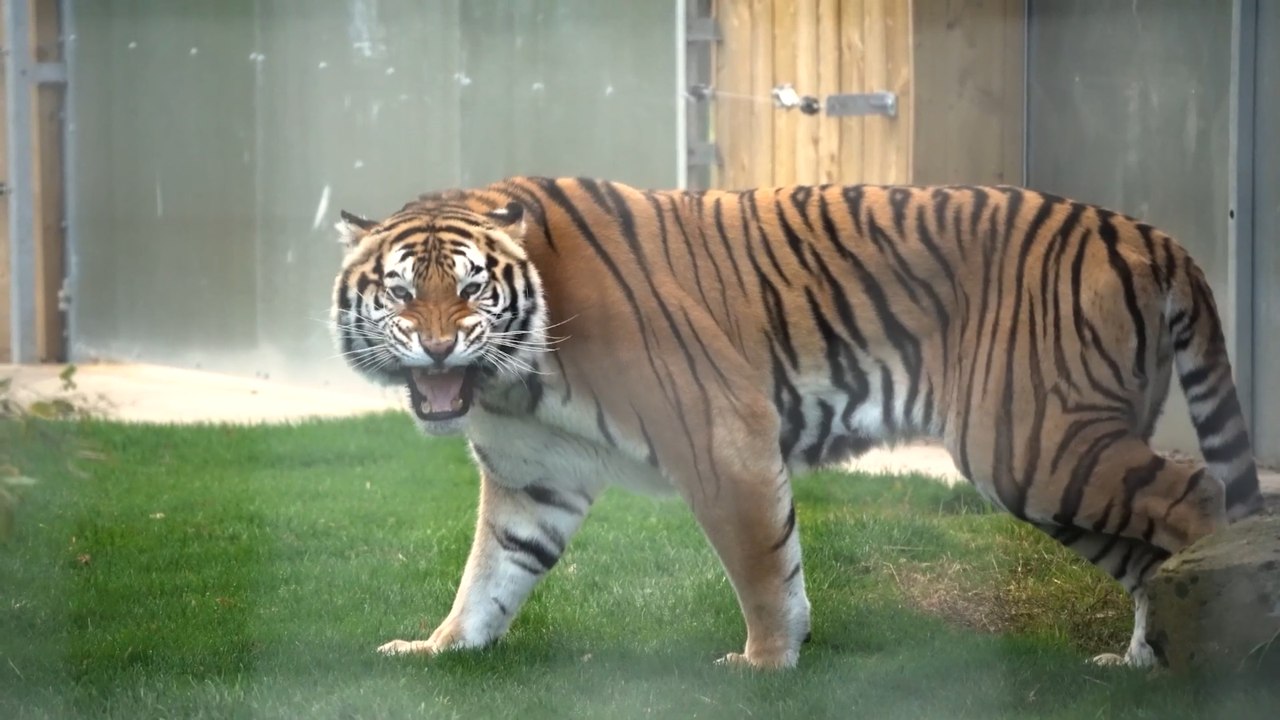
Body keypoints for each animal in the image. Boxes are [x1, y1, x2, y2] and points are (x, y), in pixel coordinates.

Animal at [329, 176, 1264, 670]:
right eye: (402, 291)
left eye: (473, 288)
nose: (439, 345)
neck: (515, 379)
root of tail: (1147, 233)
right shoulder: (534, 479)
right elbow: (490, 576)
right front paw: (438, 649)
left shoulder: (724, 434)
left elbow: (761, 564)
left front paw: (767, 662)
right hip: (1051, 466)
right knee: (1147, 553)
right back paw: (1138, 660)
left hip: (1038, 442)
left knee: (1198, 494)